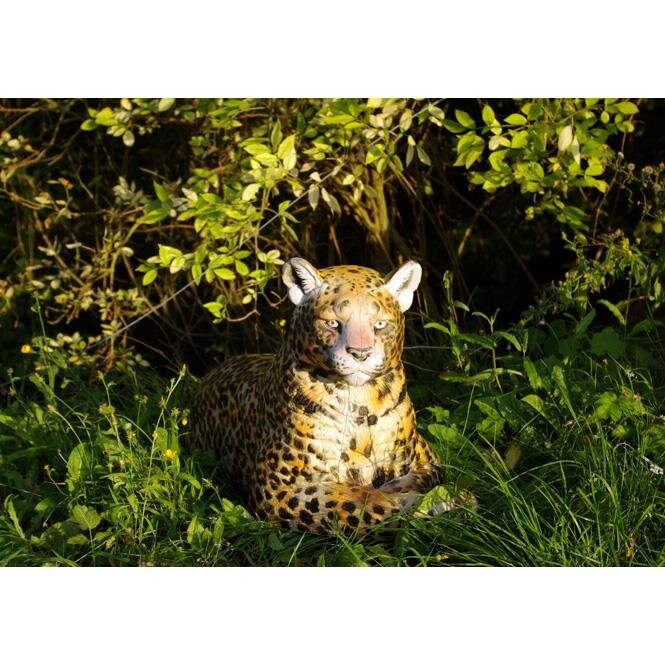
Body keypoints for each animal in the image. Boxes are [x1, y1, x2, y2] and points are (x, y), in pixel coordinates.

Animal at [189, 257, 451, 535]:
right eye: (332, 323)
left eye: (379, 325)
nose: (360, 353)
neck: (360, 404)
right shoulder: (276, 489)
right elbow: (357, 503)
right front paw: (434, 505)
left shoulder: (427, 459)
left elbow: (426, 476)